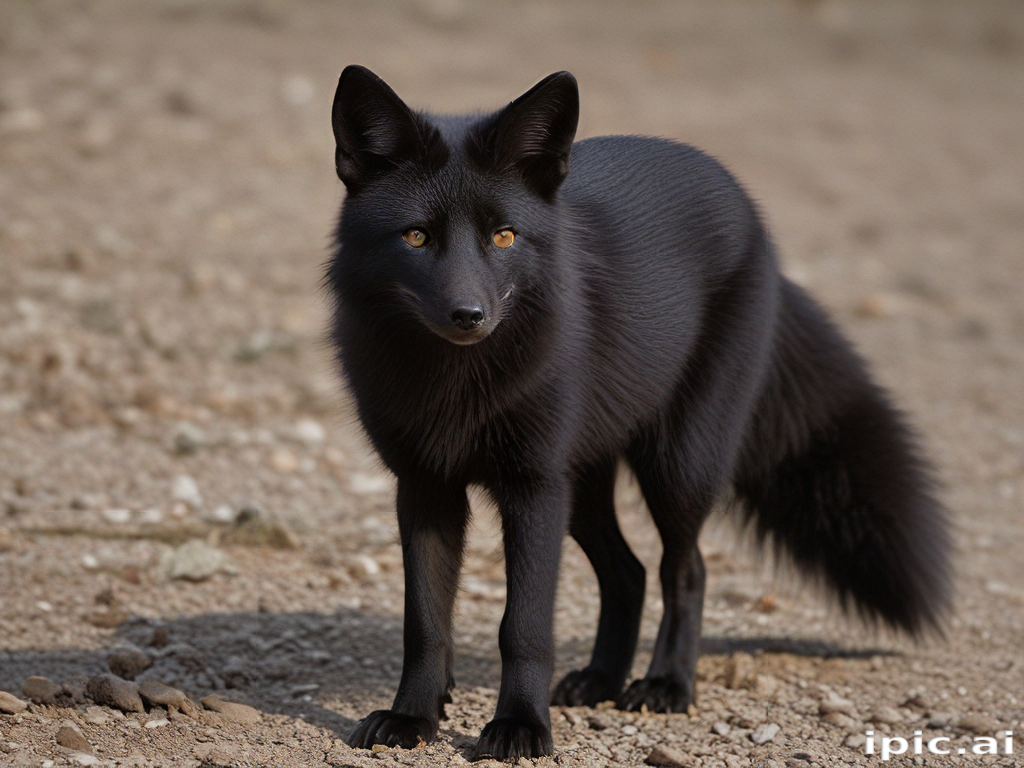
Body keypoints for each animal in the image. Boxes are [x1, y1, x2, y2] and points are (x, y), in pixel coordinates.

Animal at [326, 65, 951, 760]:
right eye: (416, 236)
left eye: (503, 235)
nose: (470, 316)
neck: (458, 388)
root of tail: (743, 204)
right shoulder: (426, 486)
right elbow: (426, 621)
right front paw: (412, 717)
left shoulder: (534, 488)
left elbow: (524, 626)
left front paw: (520, 726)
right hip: (585, 485)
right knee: (626, 573)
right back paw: (601, 678)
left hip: (677, 468)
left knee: (686, 570)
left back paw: (666, 684)